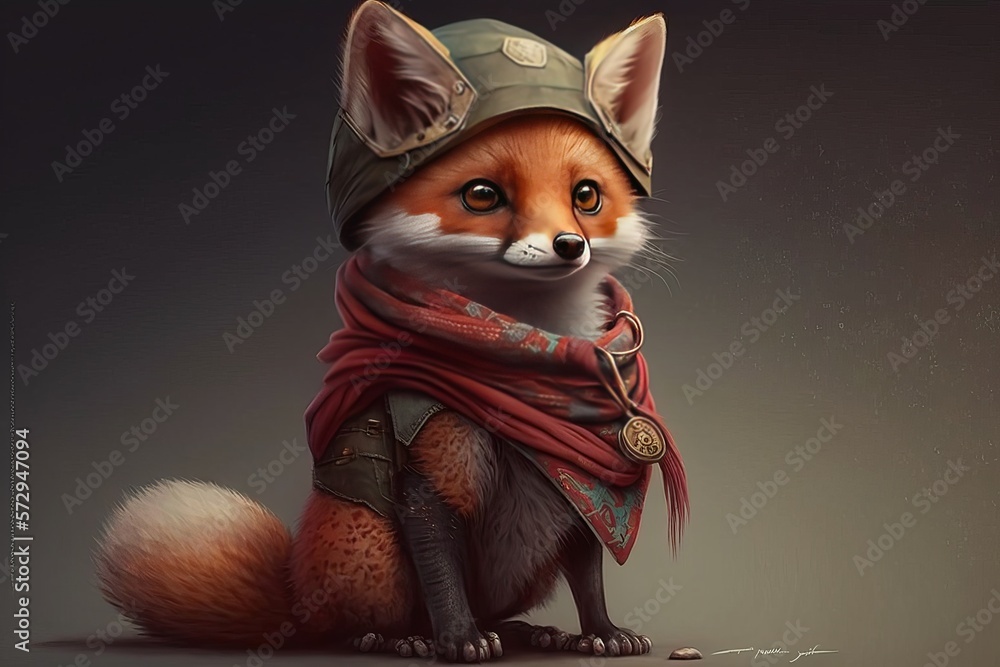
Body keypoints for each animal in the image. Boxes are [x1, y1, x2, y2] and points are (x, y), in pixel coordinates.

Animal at [94, 2, 687, 663]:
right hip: (369, 540)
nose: (568, 245)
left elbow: (589, 573)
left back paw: (528, 631)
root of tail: (297, 592)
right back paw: (404, 637)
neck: (524, 364)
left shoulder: (585, 486)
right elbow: (441, 571)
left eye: (586, 195)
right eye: (483, 195)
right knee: (359, 623)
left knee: (500, 611)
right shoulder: (429, 469)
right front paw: (458, 638)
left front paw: (601, 631)